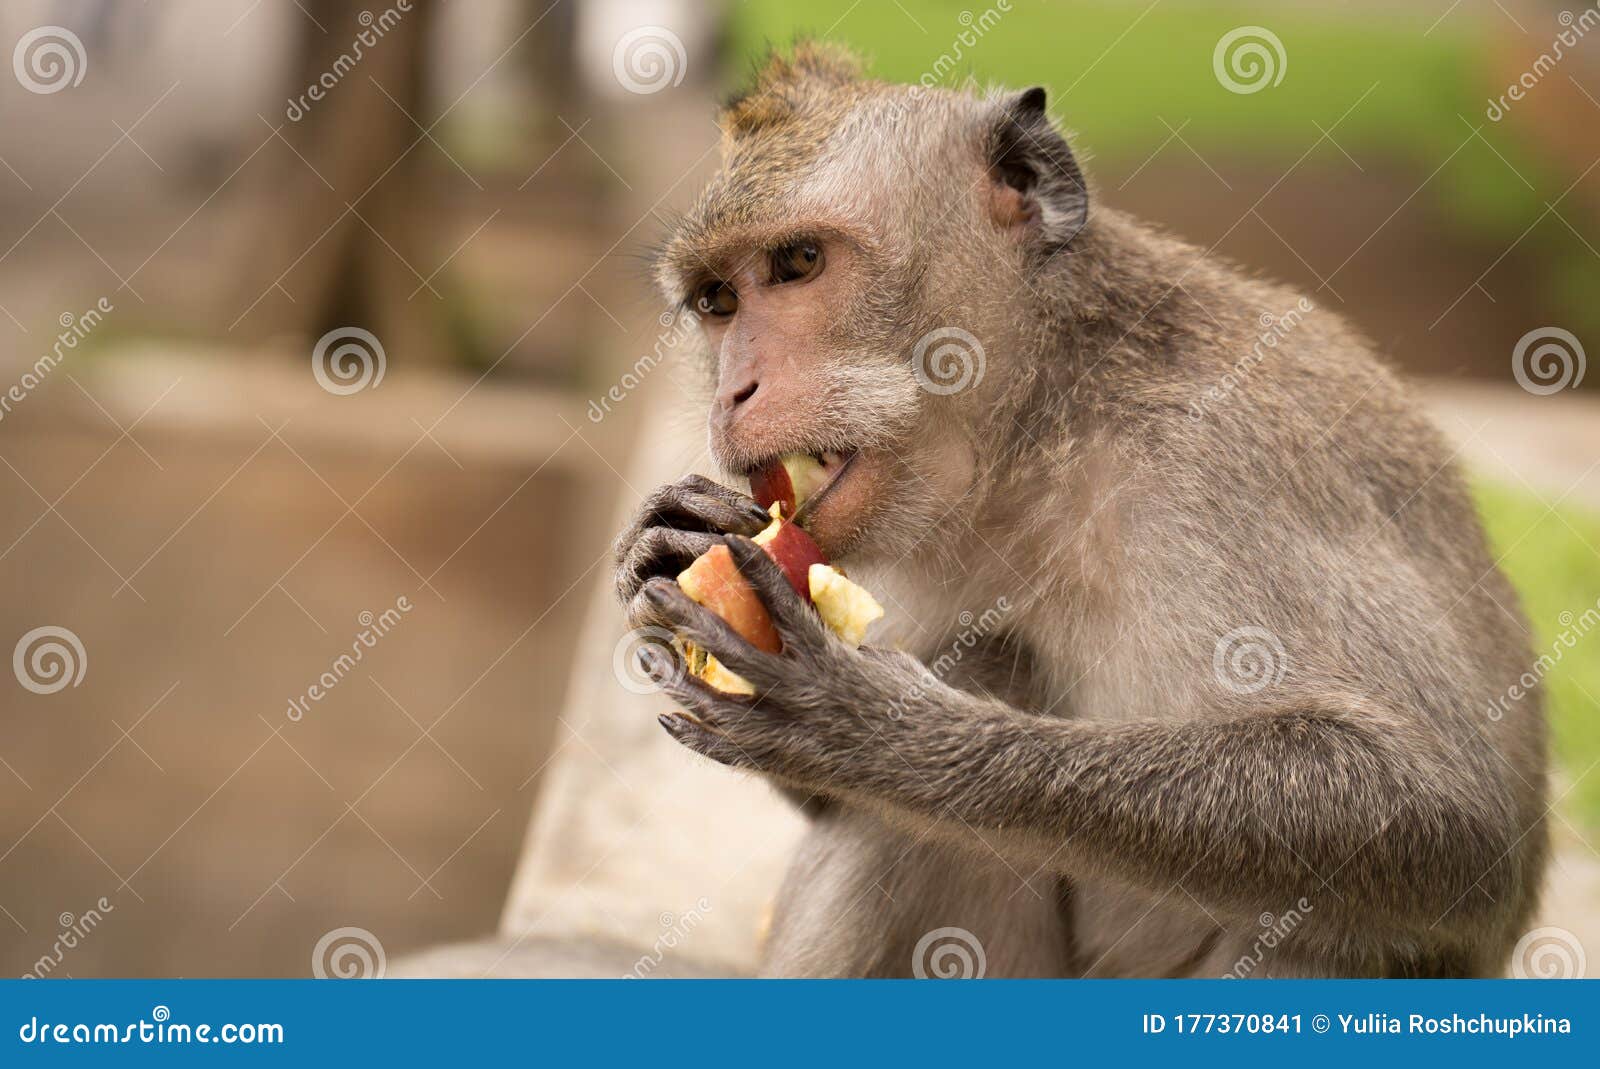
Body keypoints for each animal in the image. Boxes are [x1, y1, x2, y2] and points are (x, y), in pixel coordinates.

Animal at [613, 43, 1548, 979]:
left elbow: (1445, 812)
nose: (732, 392)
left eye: (799, 262)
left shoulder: (1225, 468)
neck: (1035, 426)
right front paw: (664, 543)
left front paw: (873, 731)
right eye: (717, 302)